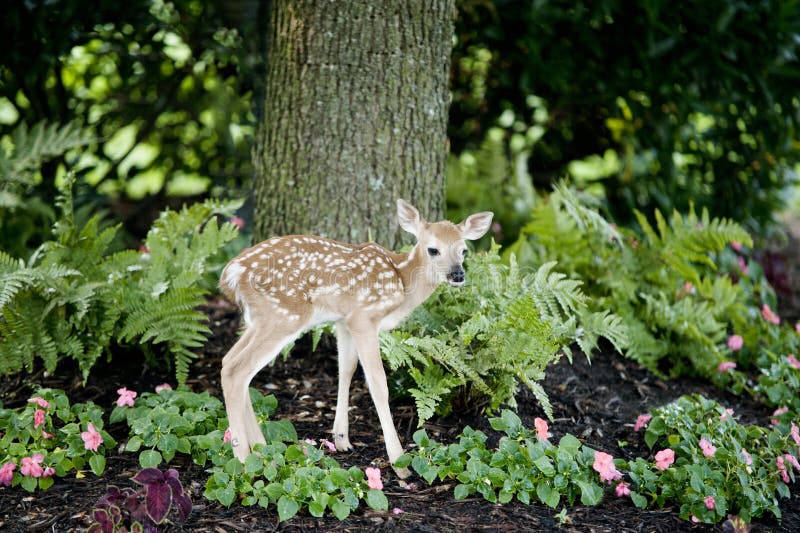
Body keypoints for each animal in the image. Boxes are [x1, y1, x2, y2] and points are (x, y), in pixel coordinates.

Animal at [219, 199, 493, 477]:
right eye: (433, 249)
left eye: (463, 250)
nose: (457, 275)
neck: (402, 283)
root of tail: (231, 273)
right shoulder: (364, 317)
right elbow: (378, 384)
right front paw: (399, 463)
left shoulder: (343, 320)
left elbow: (346, 368)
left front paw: (341, 439)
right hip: (285, 315)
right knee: (237, 370)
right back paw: (244, 459)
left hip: (258, 319)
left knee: (229, 361)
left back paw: (263, 452)